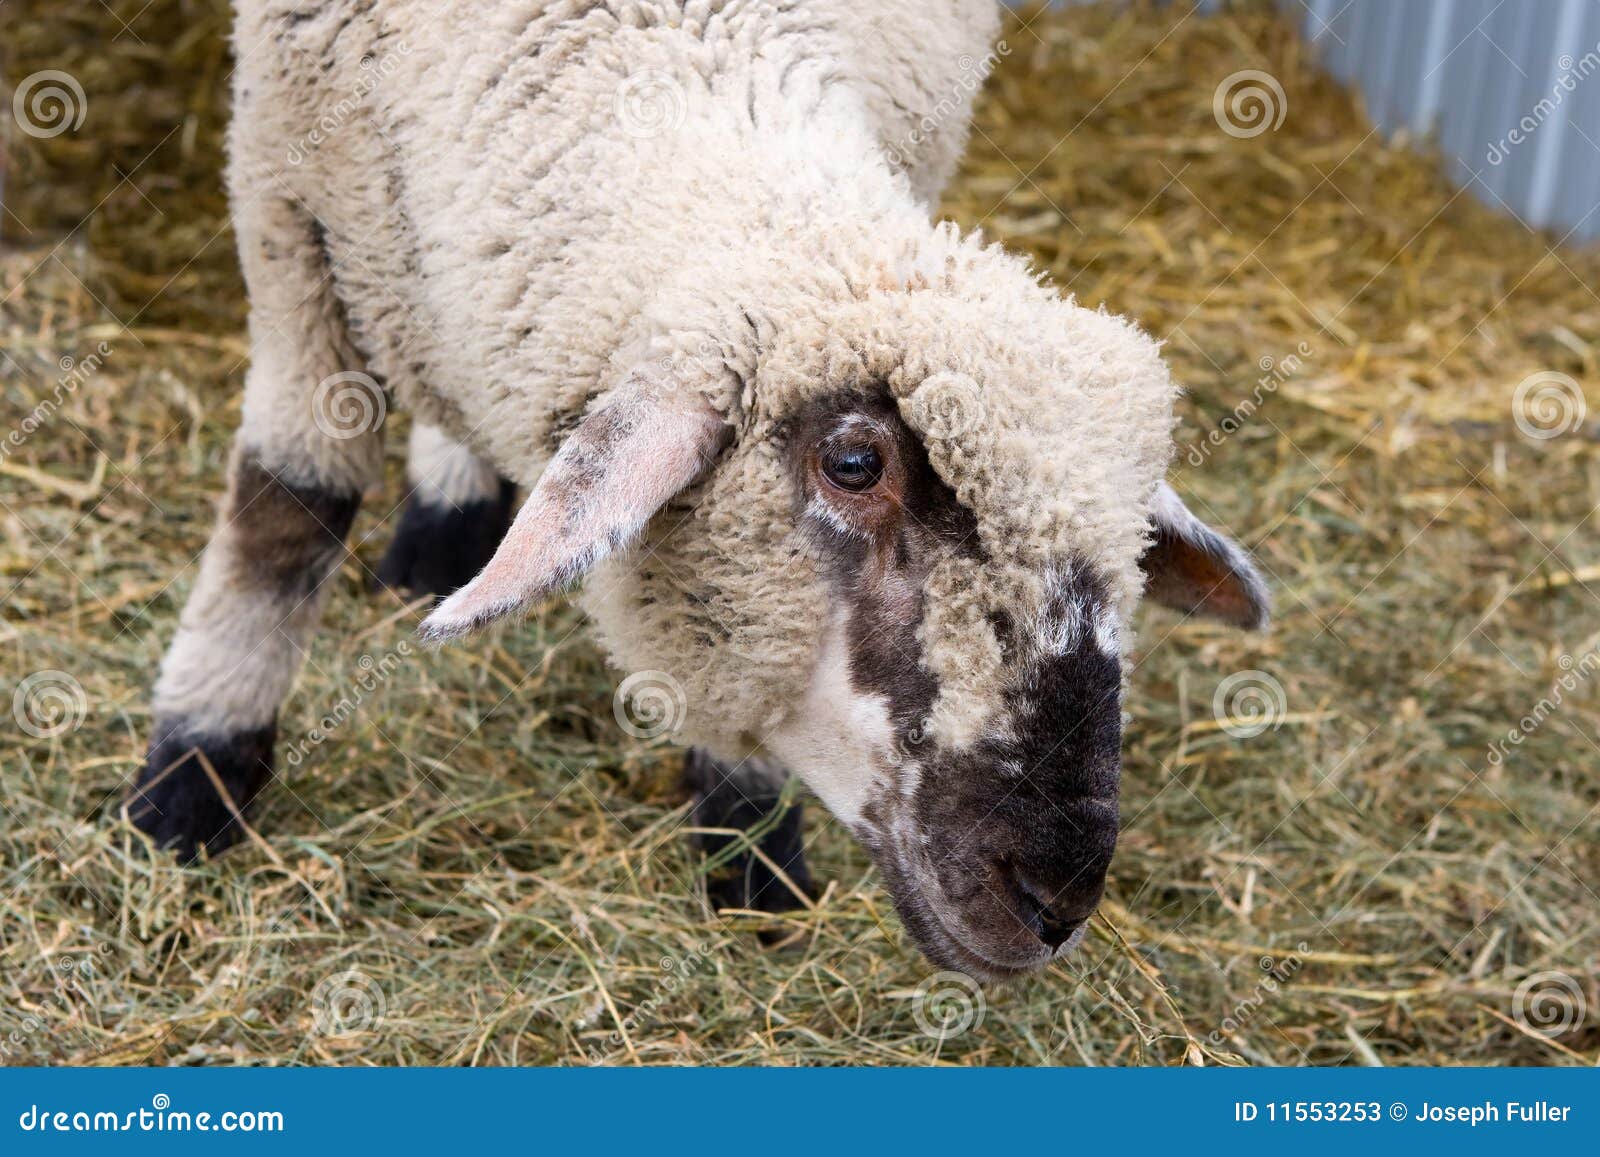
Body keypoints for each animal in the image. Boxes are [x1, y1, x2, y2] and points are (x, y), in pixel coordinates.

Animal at [131, 0, 1270, 980]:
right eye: (854, 464)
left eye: (1128, 549)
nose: (1054, 894)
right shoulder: (290, 222)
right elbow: (284, 514)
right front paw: (189, 782)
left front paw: (754, 862)